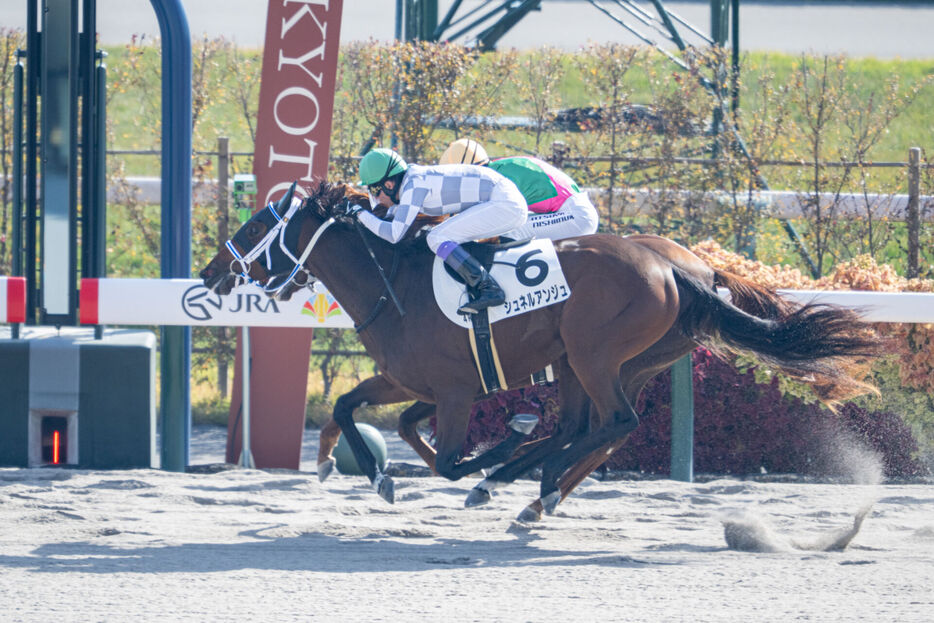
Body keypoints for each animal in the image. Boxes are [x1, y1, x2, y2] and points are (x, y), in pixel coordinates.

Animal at [200, 181, 879, 521]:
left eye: (256, 225)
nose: (211, 274)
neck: (394, 283)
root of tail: (679, 270)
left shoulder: (454, 391)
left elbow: (449, 460)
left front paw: (497, 454)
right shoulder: (408, 380)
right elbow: (357, 410)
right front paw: (375, 476)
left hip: (592, 355)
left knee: (611, 423)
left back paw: (526, 484)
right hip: (622, 360)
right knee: (599, 428)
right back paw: (538, 493)